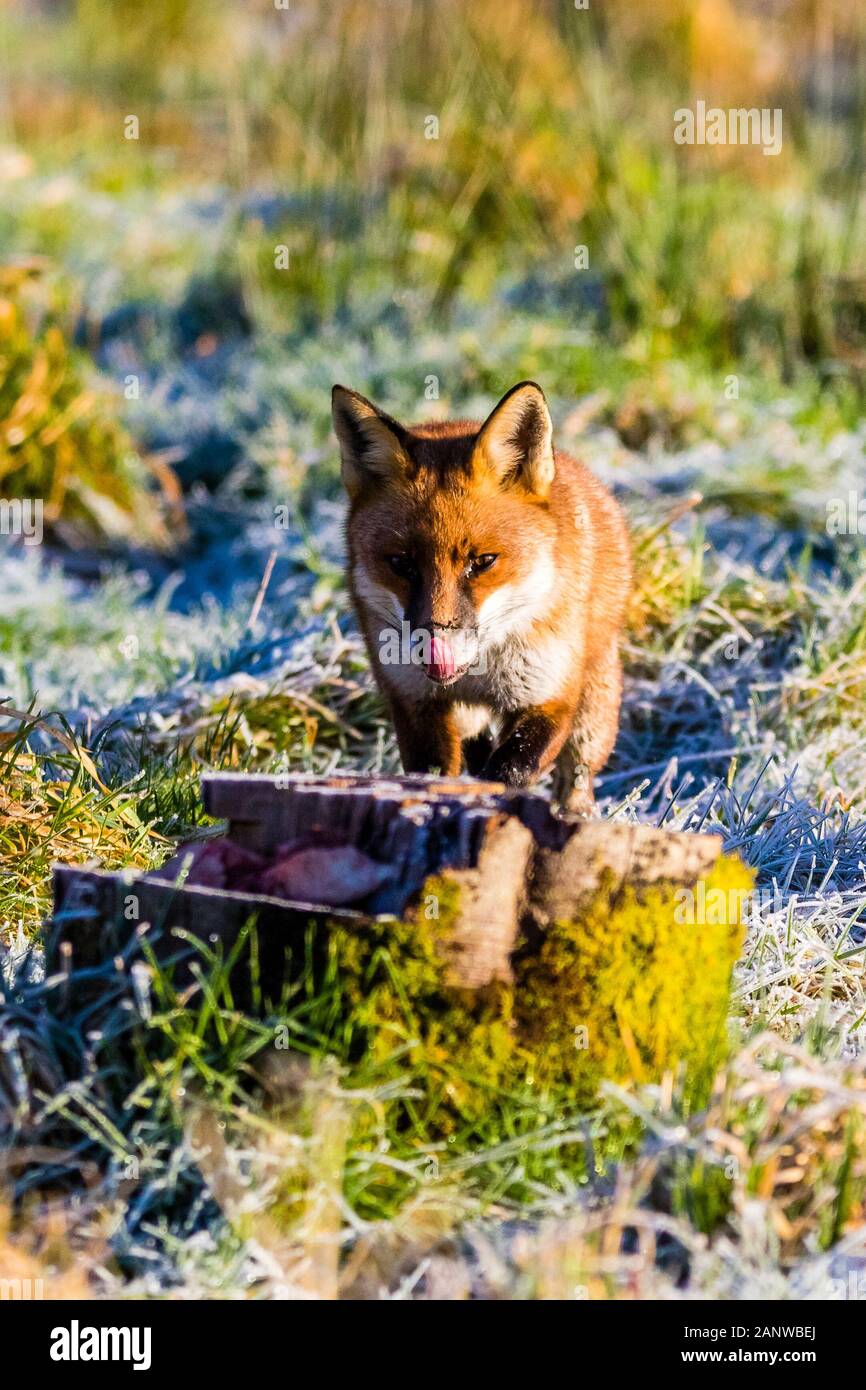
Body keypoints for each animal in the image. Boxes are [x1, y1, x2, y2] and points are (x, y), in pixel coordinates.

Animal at [332, 380, 631, 812]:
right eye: (402, 563)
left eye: (484, 561)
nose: (434, 651)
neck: (480, 674)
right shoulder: (414, 701)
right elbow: (433, 774)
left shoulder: (550, 697)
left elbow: (509, 771)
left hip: (593, 711)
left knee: (576, 775)